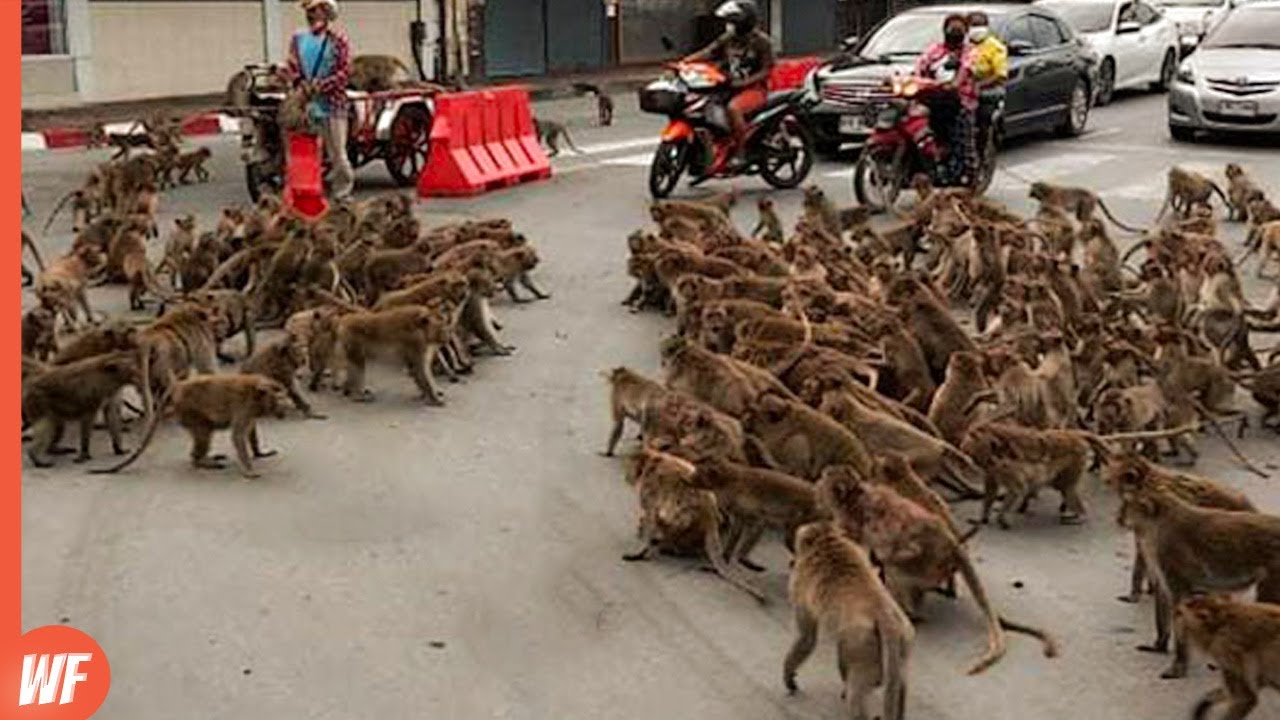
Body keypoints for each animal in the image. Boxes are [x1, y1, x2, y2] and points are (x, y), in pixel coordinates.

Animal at [92, 374, 288, 480]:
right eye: (279, 398)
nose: (284, 407)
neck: (257, 393)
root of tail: (178, 387)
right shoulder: (244, 406)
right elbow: (238, 436)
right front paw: (249, 469)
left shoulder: (251, 410)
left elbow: (249, 432)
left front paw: (259, 453)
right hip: (188, 410)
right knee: (204, 431)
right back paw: (199, 460)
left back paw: (204, 458)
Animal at [783, 521, 914, 720]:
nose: (792, 559)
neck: (828, 542)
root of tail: (887, 619)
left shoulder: (800, 583)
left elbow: (807, 637)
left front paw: (788, 676)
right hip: (903, 640)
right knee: (900, 683)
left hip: (864, 645)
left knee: (857, 694)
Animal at [817, 470, 1059, 675]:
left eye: (825, 480)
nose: (818, 483)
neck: (856, 497)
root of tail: (953, 546)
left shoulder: (861, 521)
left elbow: (902, 548)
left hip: (930, 567)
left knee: (899, 567)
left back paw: (911, 612)